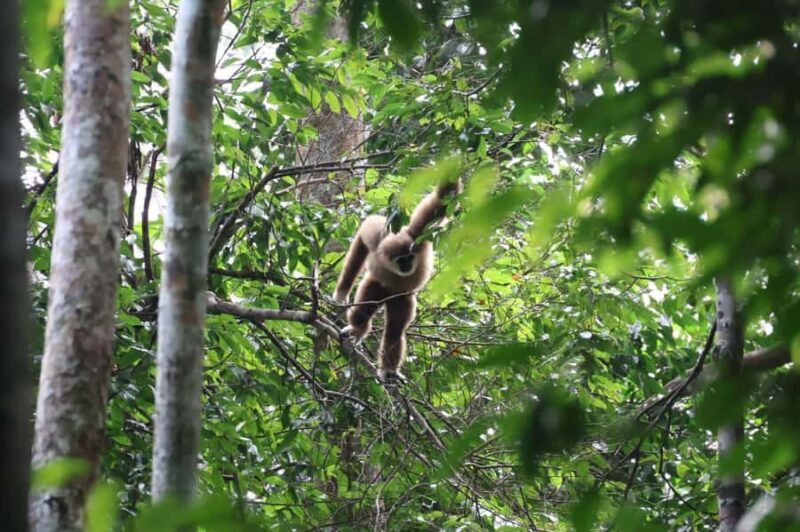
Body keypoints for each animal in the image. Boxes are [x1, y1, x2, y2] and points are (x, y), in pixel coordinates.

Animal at [332, 178, 462, 382]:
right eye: (401, 260)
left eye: (409, 257)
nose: (407, 265)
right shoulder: (377, 242)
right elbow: (363, 236)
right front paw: (341, 293)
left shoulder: (418, 234)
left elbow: (442, 200)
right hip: (376, 285)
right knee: (364, 311)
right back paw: (357, 329)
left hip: (401, 298)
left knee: (395, 329)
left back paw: (388, 370)